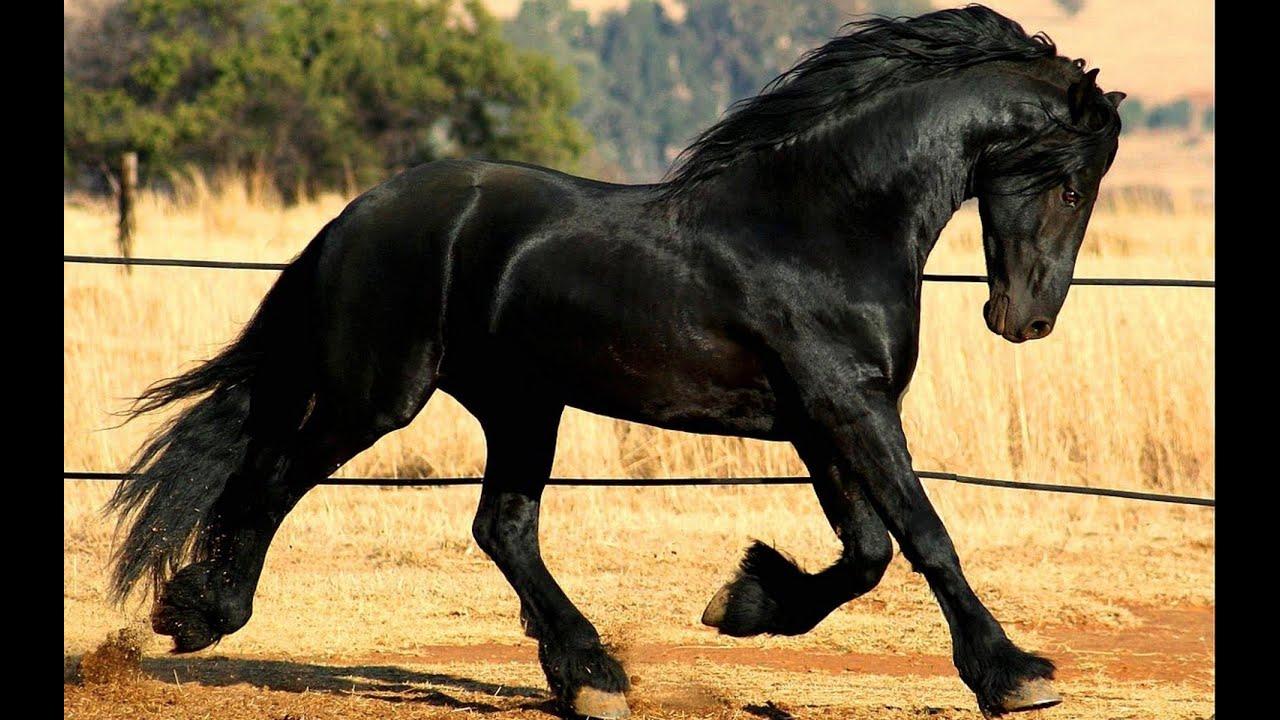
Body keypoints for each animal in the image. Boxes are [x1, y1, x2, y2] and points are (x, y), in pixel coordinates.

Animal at [106, 6, 1124, 718]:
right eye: (1072, 184)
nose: (1026, 319)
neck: (822, 222)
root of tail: (357, 216)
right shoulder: (848, 407)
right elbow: (923, 535)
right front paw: (1014, 675)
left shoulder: (821, 419)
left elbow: (867, 551)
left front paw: (743, 602)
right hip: (380, 394)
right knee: (274, 476)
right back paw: (198, 612)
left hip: (522, 404)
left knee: (502, 528)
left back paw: (587, 673)